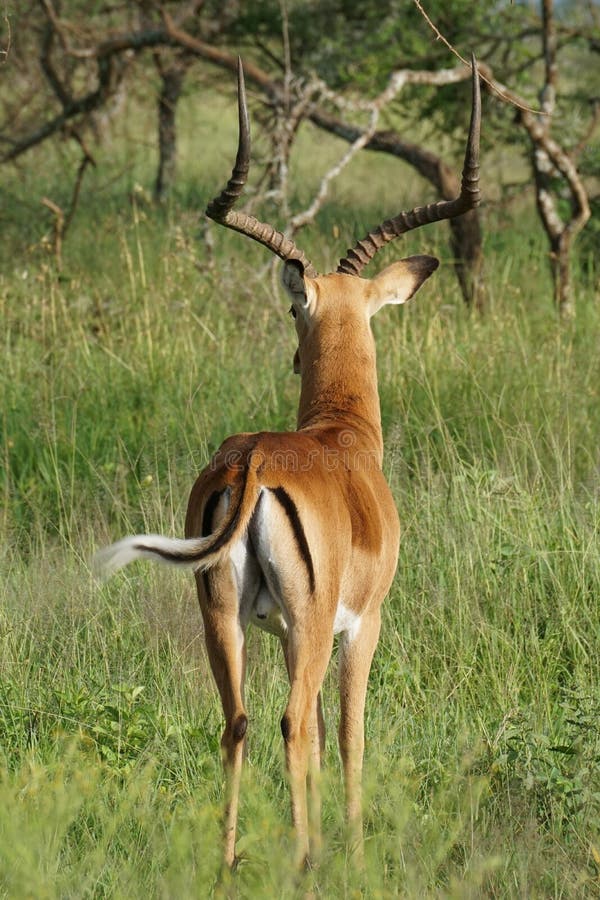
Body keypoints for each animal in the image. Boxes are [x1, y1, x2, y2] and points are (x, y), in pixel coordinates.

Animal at [96, 57, 481, 868]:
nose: (293, 356)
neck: (343, 436)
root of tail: (253, 465)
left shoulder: (275, 633)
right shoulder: (360, 625)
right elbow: (350, 734)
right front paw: (356, 848)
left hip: (223, 615)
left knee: (239, 721)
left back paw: (228, 862)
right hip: (307, 624)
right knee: (293, 723)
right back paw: (306, 861)